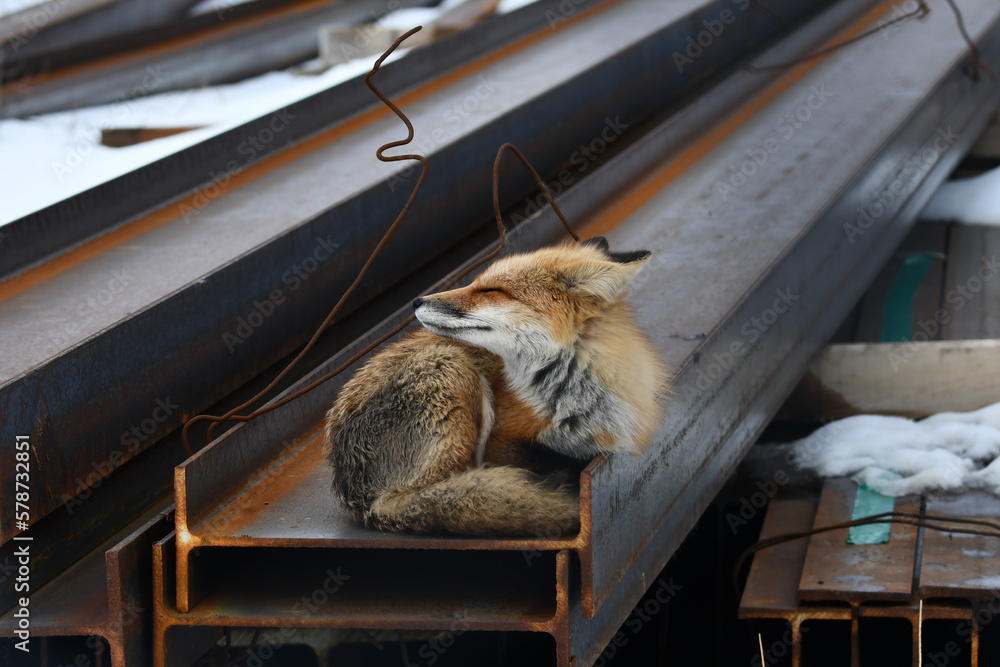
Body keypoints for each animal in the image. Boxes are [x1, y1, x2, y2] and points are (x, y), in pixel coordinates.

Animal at [324, 236, 666, 536]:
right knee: (444, 495)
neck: (576, 395)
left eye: (492, 289)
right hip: (453, 365)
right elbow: (546, 458)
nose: (417, 300)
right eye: (477, 283)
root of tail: (357, 496)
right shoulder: (500, 445)